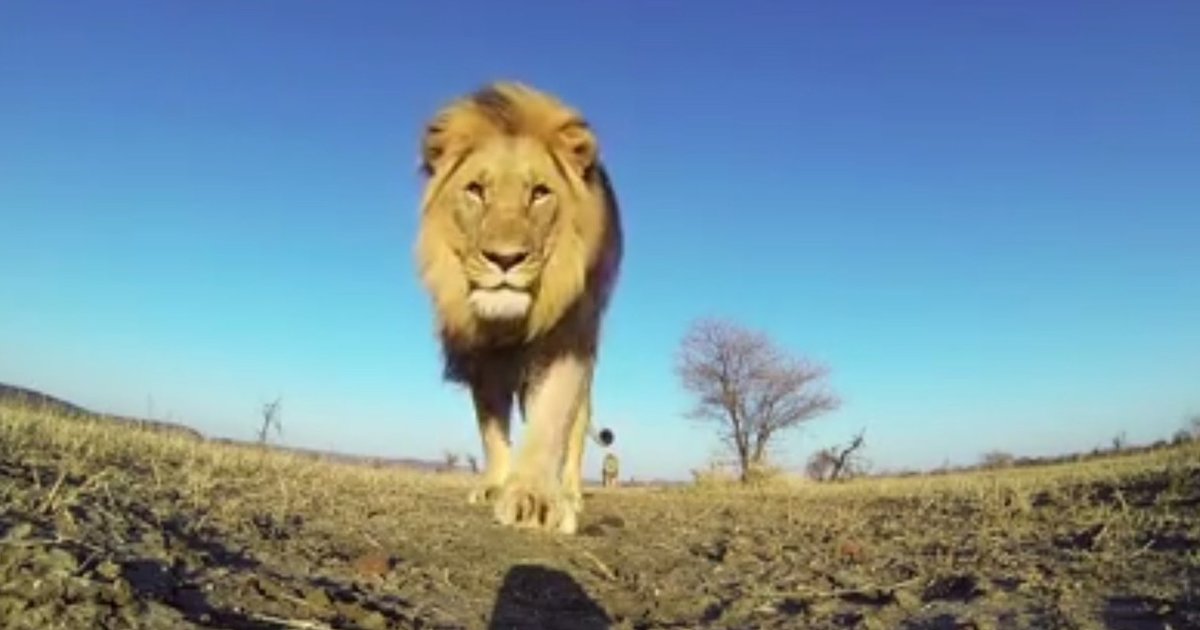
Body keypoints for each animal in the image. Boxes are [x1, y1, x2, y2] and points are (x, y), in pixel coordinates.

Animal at [412, 81, 623, 534]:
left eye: (540, 193)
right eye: (476, 190)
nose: (504, 259)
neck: (511, 323)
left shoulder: (567, 340)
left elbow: (552, 418)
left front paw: (535, 498)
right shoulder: (482, 357)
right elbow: (491, 428)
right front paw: (496, 485)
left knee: (575, 433)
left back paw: (571, 493)